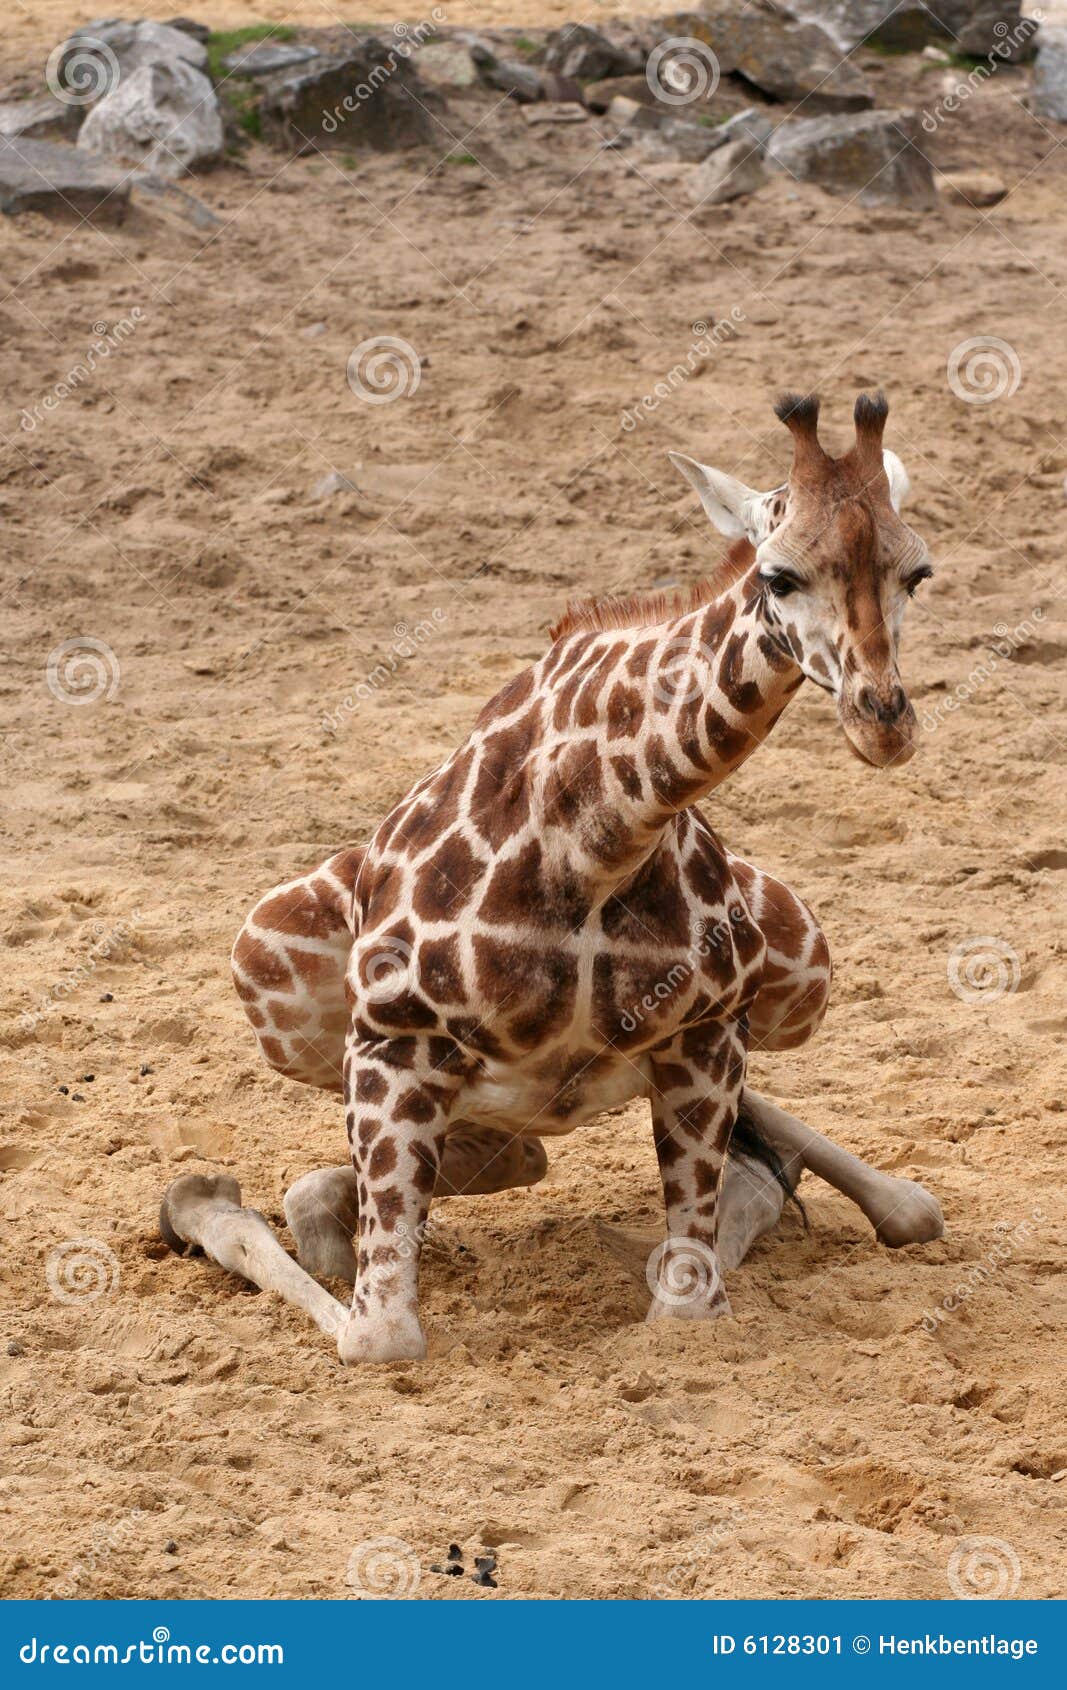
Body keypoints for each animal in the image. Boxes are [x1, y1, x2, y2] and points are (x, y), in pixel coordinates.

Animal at [168, 391, 944, 1364]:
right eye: (778, 576)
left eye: (917, 572)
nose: (883, 719)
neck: (600, 839)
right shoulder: (387, 1046)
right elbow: (375, 1331)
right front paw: (213, 1209)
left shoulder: (708, 1036)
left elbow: (687, 1298)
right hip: (266, 972)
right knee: (459, 1164)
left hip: (803, 964)